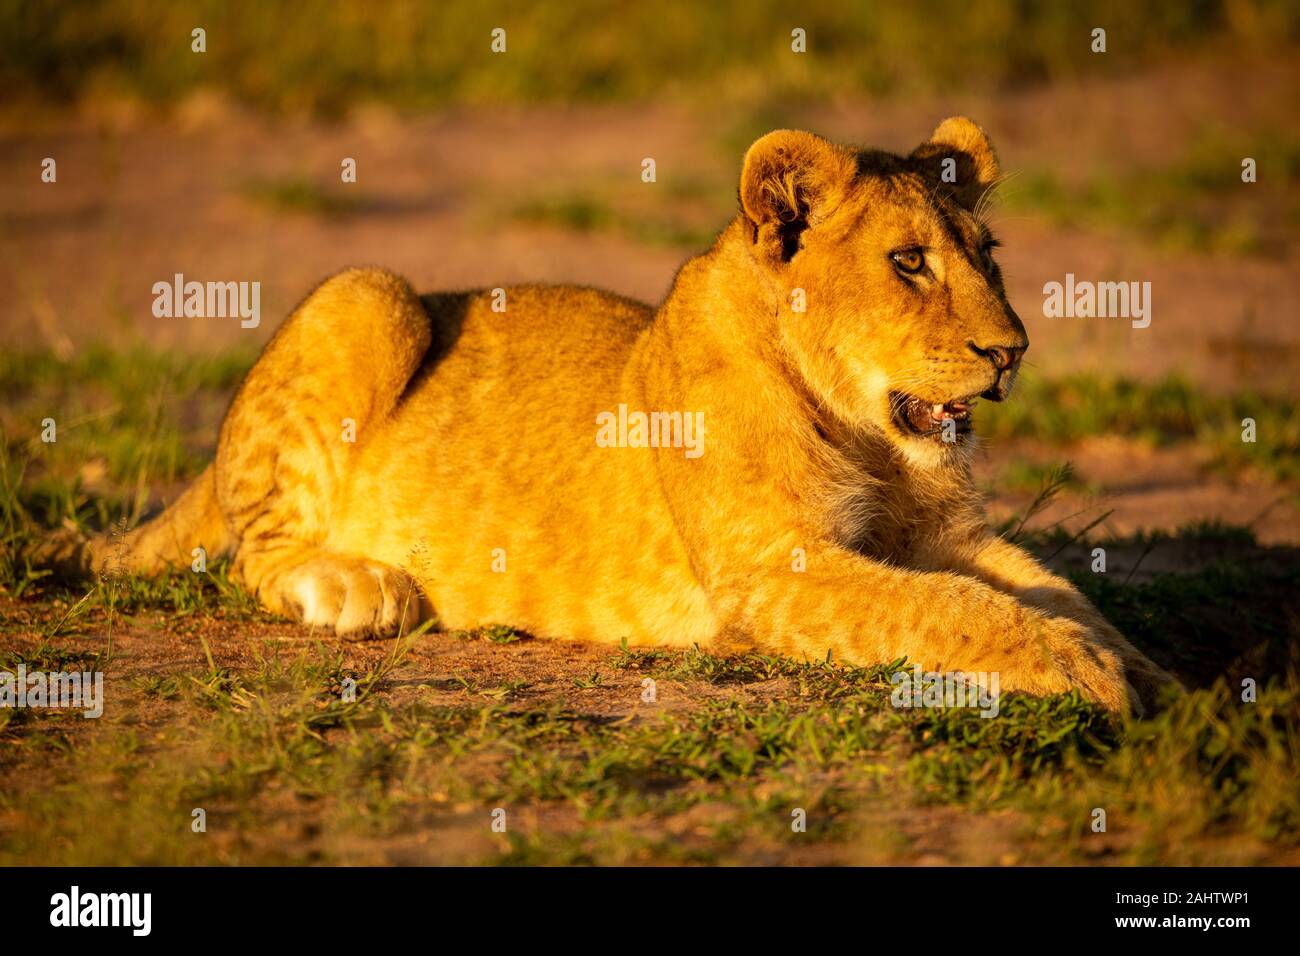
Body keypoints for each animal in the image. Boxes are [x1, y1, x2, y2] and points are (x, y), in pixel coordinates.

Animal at [39, 118, 1176, 714]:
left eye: (989, 255)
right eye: (908, 262)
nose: (1012, 349)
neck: (869, 435)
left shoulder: (946, 535)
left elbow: (1058, 592)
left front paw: (1146, 670)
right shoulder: (772, 575)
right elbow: (949, 609)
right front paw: (1083, 674)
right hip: (365, 293)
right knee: (249, 554)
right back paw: (358, 587)